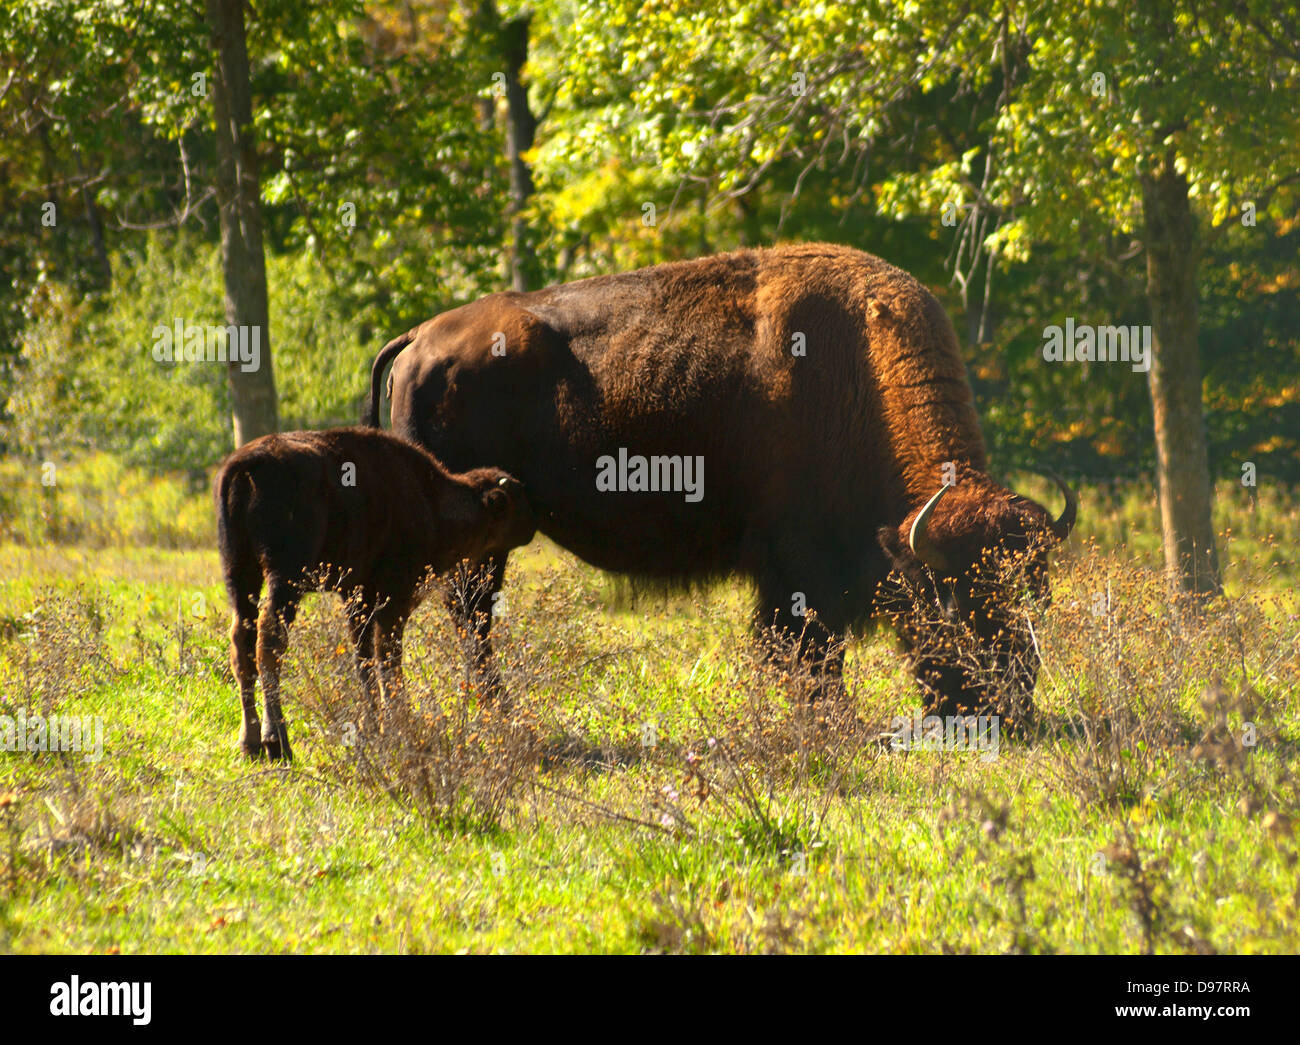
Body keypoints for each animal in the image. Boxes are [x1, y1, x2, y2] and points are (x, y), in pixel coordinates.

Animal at [213, 427, 534, 761]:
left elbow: (364, 659)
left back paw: (249, 744)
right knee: (269, 641)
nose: (532, 522)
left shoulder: (359, 599)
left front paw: (372, 728)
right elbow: (387, 658)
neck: (431, 499)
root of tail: (246, 464)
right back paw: (278, 743)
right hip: (285, 577)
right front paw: (397, 725)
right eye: (517, 500)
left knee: (242, 643)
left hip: (239, 574)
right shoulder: (395, 598)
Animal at [365, 243, 1075, 722]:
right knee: (469, 618)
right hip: (475, 542)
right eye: (953, 605)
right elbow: (807, 650)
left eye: (1035, 598)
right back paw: (495, 712)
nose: (1006, 711)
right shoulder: (797, 569)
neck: (860, 371)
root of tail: (419, 338)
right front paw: (830, 721)